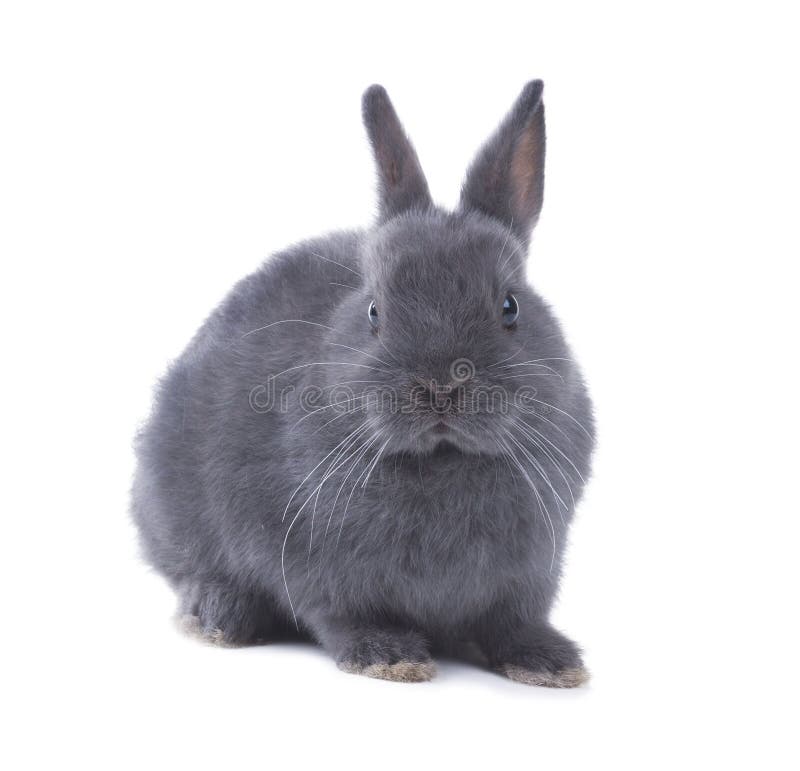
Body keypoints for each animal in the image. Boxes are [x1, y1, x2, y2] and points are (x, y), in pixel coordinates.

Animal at [132, 80, 595, 687]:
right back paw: (216, 616)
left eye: (510, 307)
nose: (439, 385)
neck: (441, 460)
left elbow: (512, 623)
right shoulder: (312, 567)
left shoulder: (529, 576)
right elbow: (341, 615)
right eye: (375, 310)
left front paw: (551, 662)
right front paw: (389, 656)